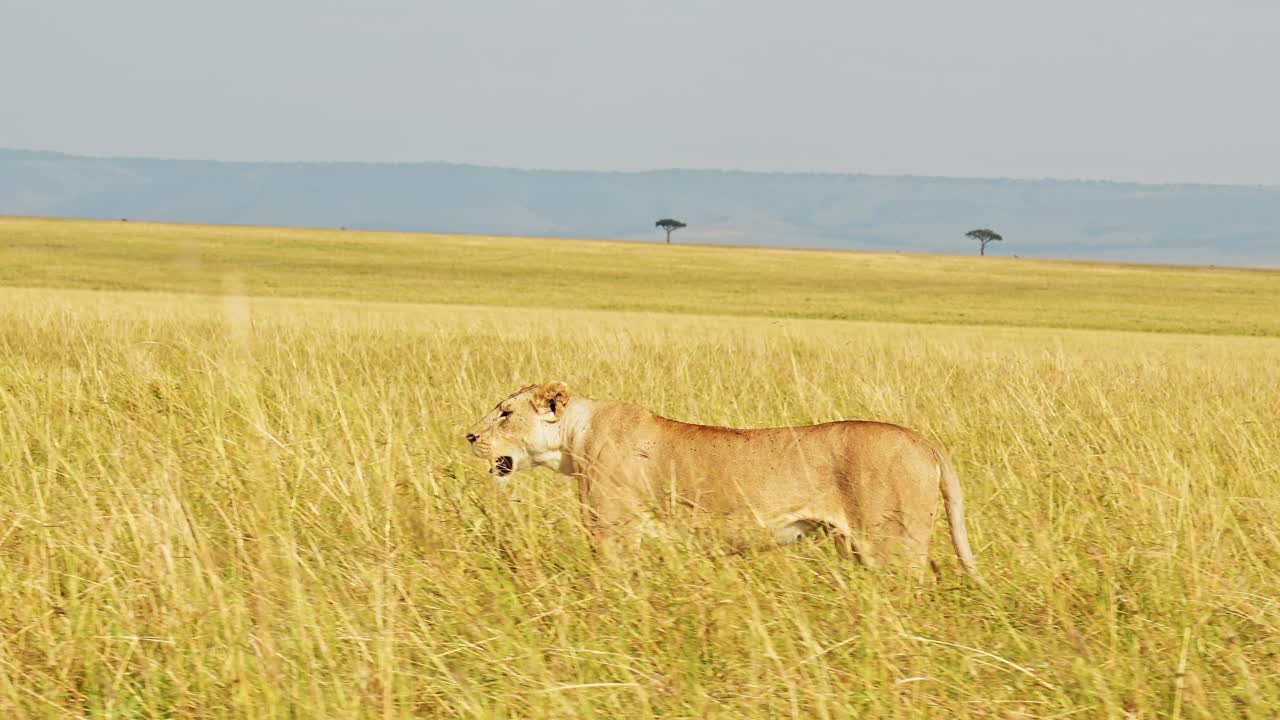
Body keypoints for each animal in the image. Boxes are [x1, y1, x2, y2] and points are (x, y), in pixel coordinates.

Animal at [466, 382, 986, 583]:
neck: (573, 439)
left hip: (892, 545)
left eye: (505, 413)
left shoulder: (613, 534)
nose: (470, 436)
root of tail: (923, 440)